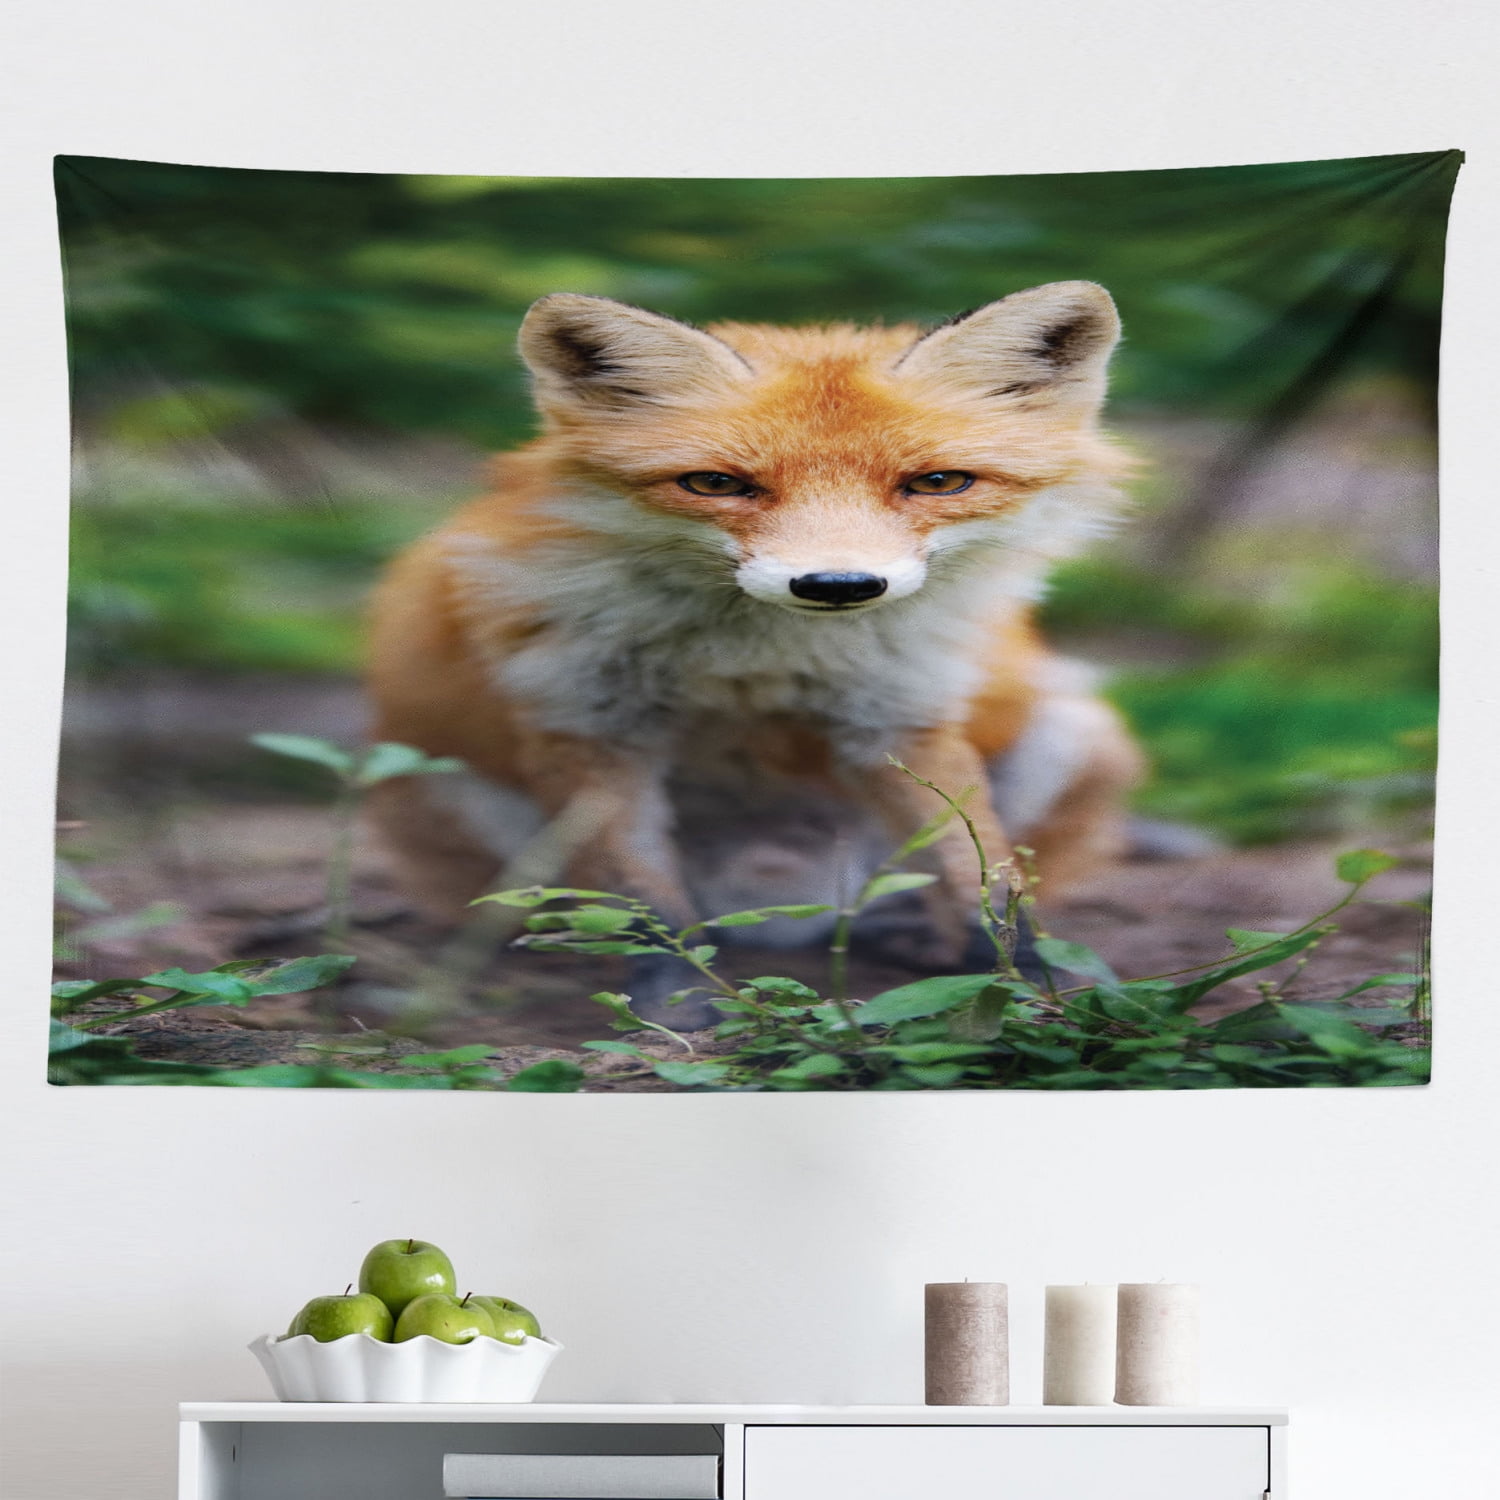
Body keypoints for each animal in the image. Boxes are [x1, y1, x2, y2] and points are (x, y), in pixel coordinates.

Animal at [367, 283, 1145, 1024]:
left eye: (938, 482)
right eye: (716, 483)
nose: (838, 585)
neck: (755, 659)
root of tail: (778, 912)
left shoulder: (898, 719)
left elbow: (978, 872)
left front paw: (1031, 983)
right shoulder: (590, 725)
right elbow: (646, 903)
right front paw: (675, 1000)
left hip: (1073, 728)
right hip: (442, 776)